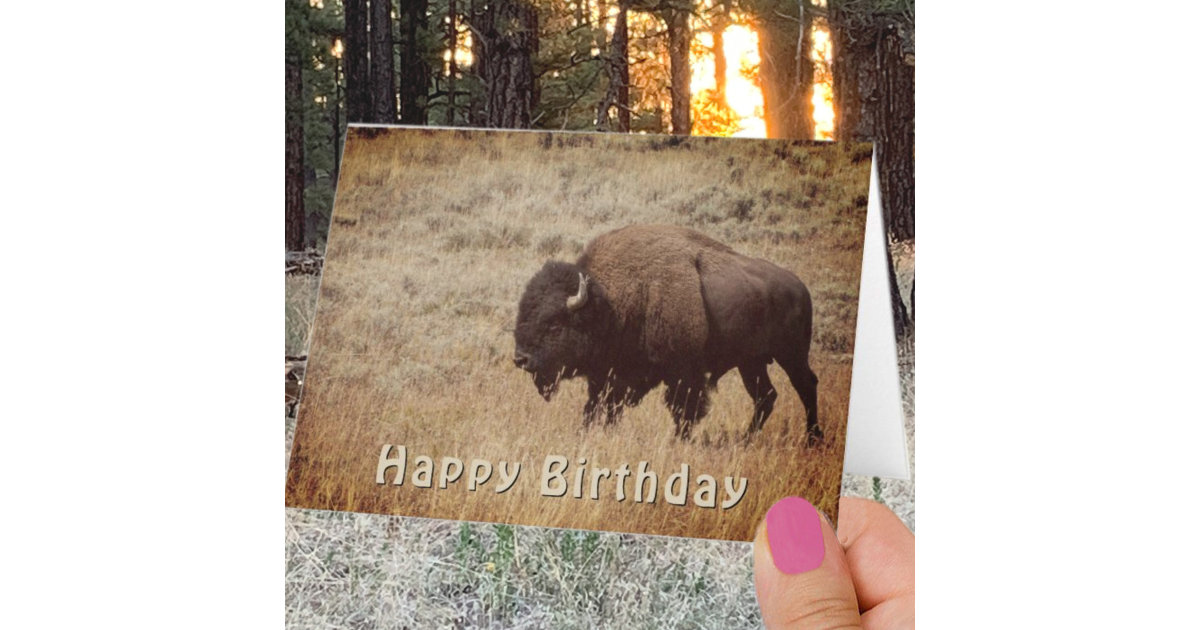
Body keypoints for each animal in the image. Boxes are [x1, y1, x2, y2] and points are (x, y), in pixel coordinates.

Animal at [513, 224, 821, 441]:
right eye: (524, 315)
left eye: (555, 324)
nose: (521, 359)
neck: (610, 303)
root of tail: (800, 287)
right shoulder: (608, 377)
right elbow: (598, 408)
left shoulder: (683, 372)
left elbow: (684, 409)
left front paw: (678, 441)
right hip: (751, 362)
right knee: (766, 397)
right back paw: (746, 439)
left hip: (791, 354)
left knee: (805, 385)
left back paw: (812, 439)